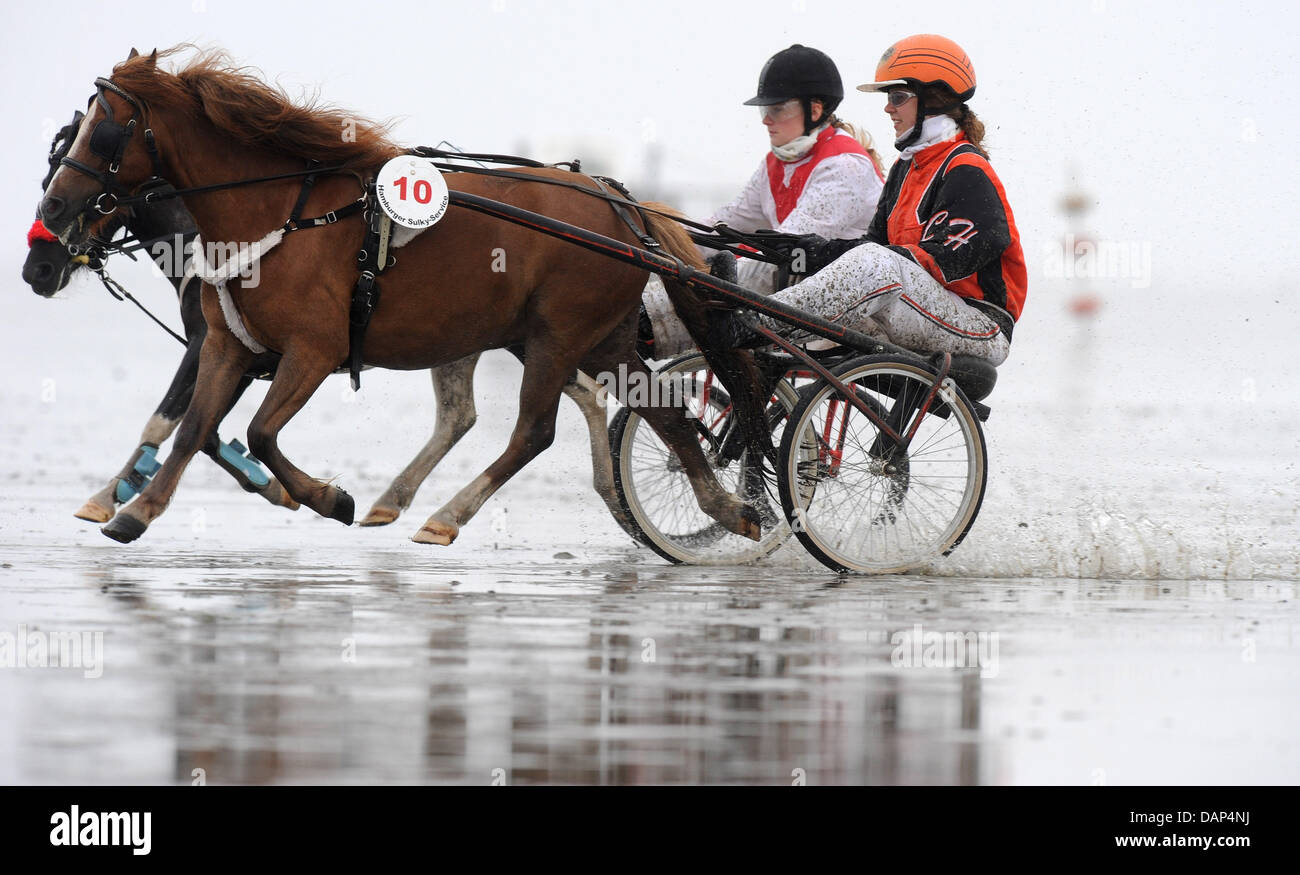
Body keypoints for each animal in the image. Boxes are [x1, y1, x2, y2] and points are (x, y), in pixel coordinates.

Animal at [24, 112, 632, 532]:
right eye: (52, 161)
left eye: (89, 151)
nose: (37, 268)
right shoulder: (236, 350)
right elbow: (202, 428)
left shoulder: (219, 348)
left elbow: (180, 424)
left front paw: (114, 494)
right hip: (505, 334)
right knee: (548, 401)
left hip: (540, 333)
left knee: (551, 413)